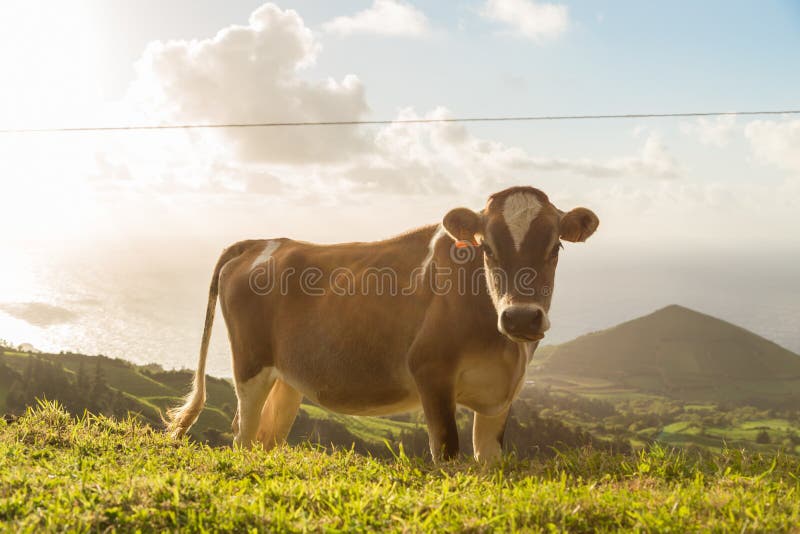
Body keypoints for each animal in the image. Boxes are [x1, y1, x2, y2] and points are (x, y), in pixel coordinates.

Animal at [167, 186, 599, 461]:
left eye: (556, 247)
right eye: (486, 248)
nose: (521, 316)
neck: (505, 349)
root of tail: (262, 242)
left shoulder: (502, 394)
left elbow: (489, 462)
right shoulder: (430, 371)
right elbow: (447, 453)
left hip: (287, 377)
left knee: (266, 436)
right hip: (251, 364)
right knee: (242, 431)